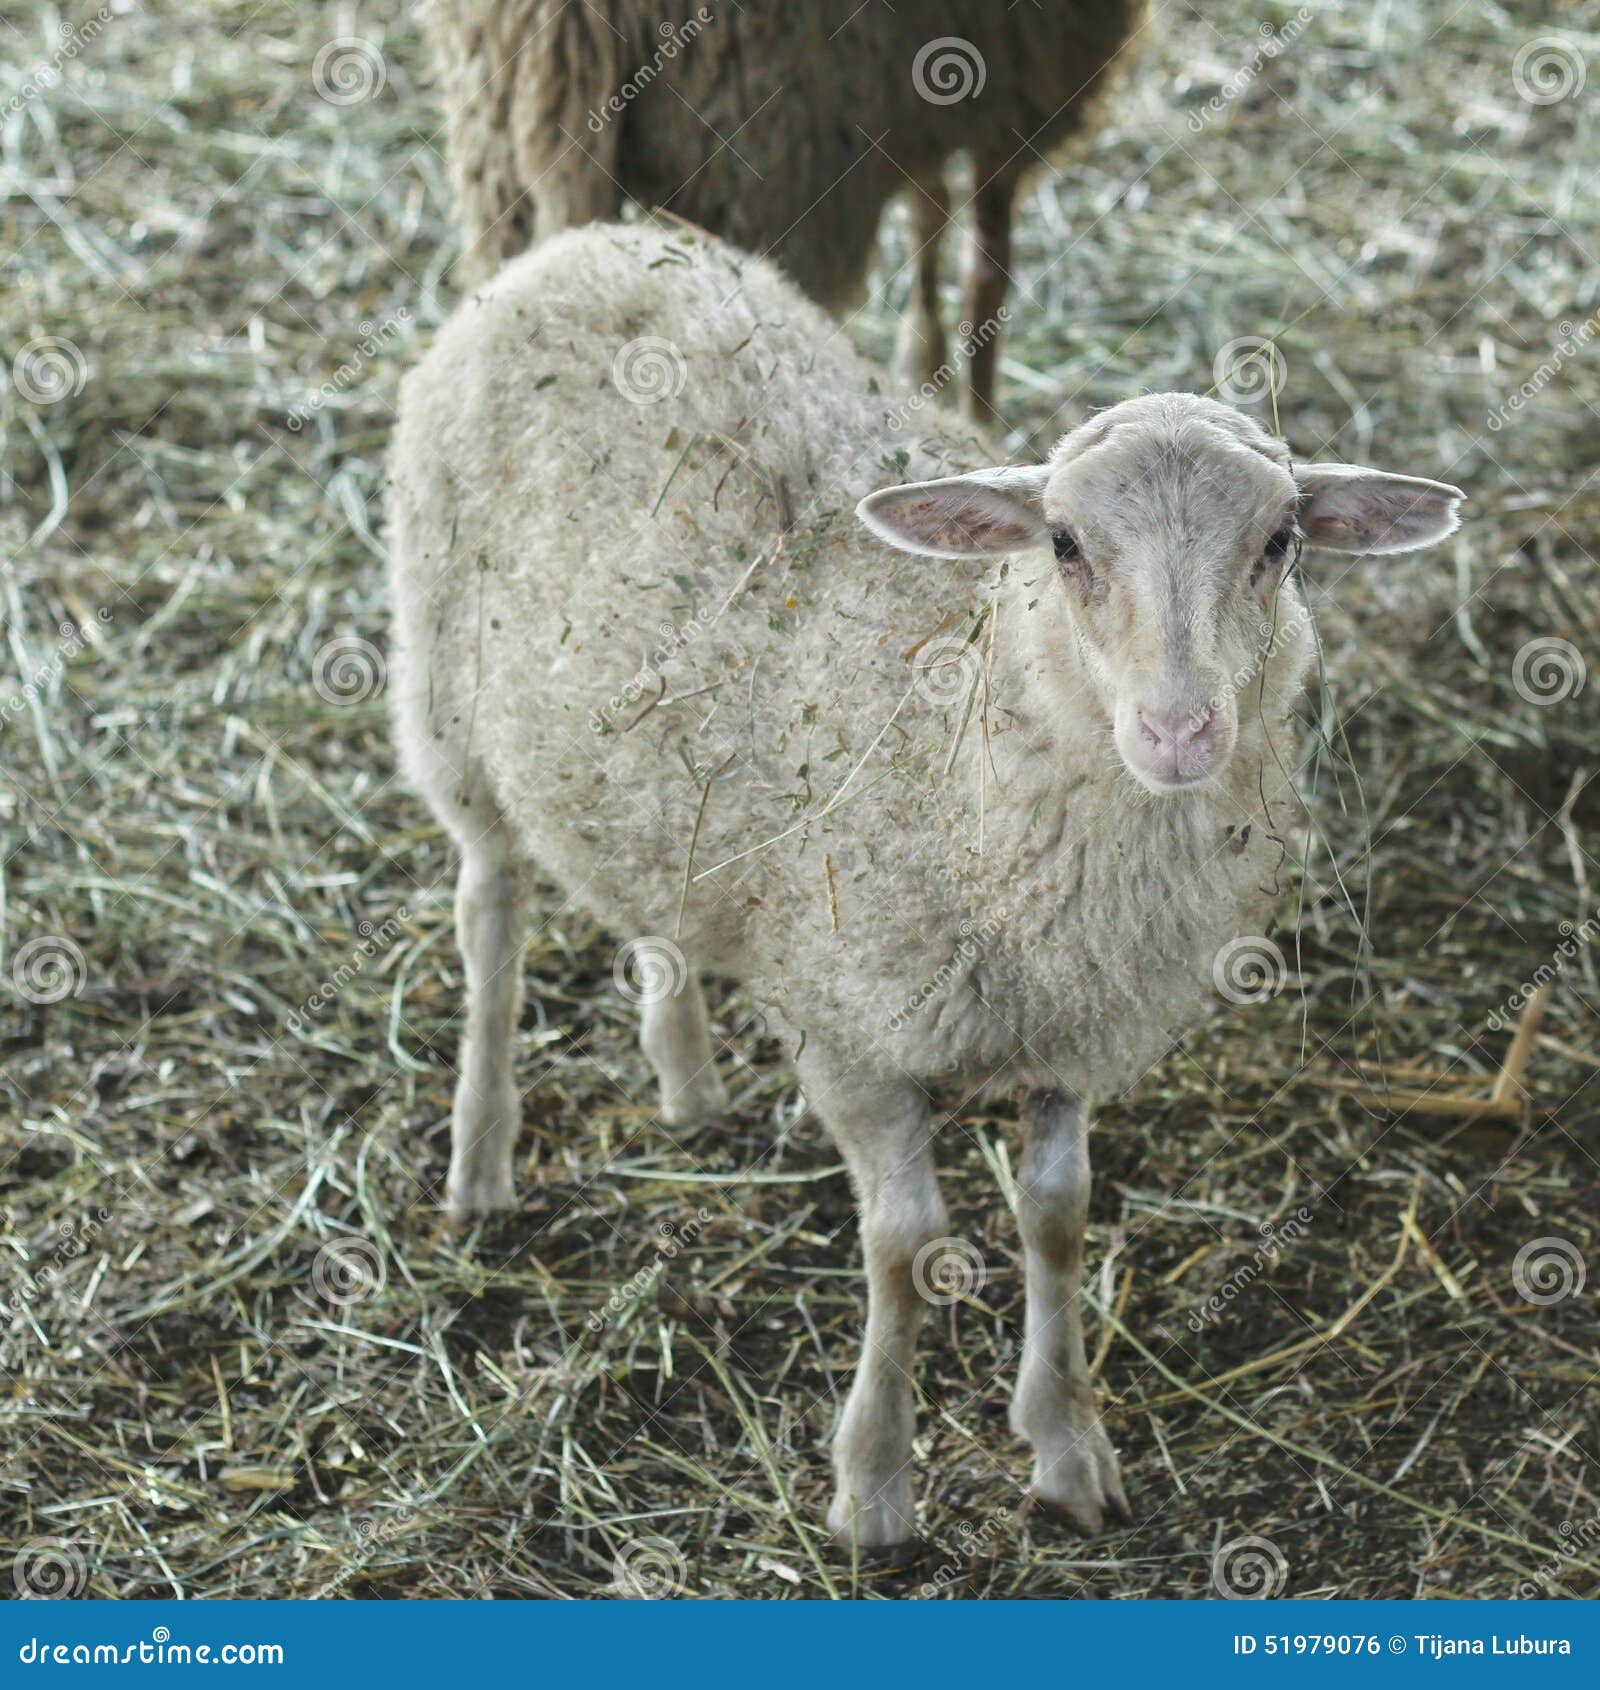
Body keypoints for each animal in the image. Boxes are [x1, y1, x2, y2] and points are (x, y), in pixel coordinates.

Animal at [386, 221, 1464, 1548]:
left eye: (1279, 543)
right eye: (1063, 544)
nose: (1177, 730)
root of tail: (584, 245)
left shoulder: (1066, 1032)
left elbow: (1057, 1216)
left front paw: (1065, 1446)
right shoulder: (854, 1032)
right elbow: (904, 1247)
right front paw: (873, 1488)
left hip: (648, 782)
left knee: (657, 905)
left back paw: (686, 1082)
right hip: (449, 702)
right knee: (488, 914)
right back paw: (480, 1161)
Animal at [421, 0, 1145, 416]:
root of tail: (571, 22)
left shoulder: (927, 86)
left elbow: (929, 207)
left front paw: (922, 355)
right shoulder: (1024, 84)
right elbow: (986, 272)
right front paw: (980, 418)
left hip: (499, 170)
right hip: (765, 179)